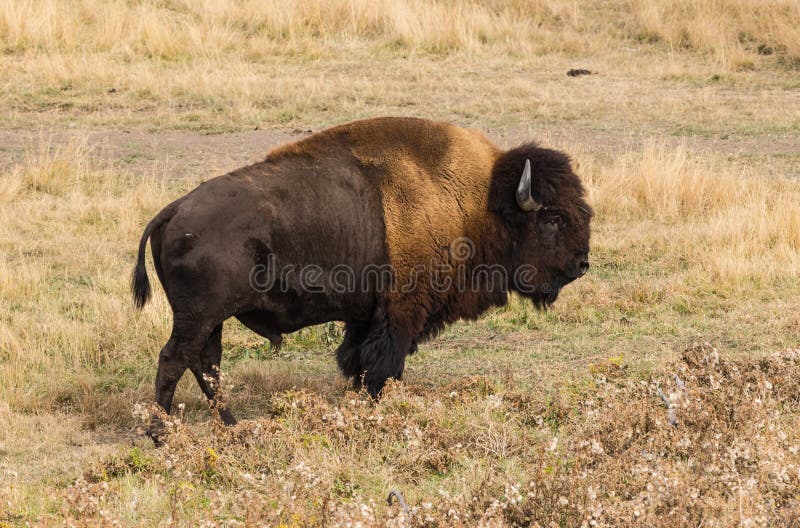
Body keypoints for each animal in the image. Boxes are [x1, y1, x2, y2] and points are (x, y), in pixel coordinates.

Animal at [132, 117, 592, 442]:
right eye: (552, 218)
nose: (582, 263)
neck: (478, 203)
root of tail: (174, 210)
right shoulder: (399, 313)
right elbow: (383, 364)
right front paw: (376, 406)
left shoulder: (365, 316)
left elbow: (356, 358)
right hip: (200, 316)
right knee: (175, 359)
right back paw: (162, 435)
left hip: (212, 320)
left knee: (205, 365)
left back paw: (232, 425)